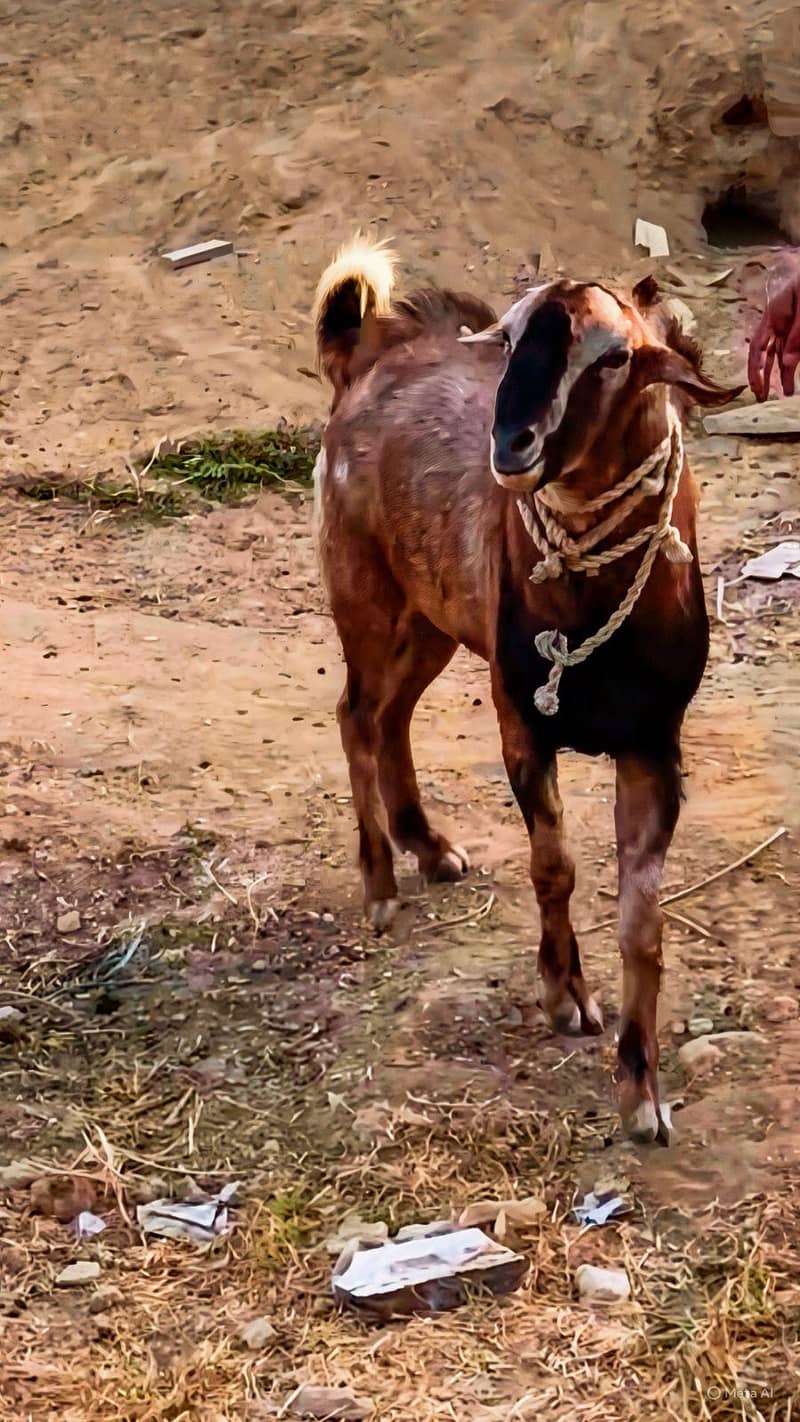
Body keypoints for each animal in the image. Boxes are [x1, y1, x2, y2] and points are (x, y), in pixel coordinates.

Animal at [312, 236, 742, 1143]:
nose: (511, 444)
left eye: (613, 357)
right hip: (366, 593)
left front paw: (641, 1093)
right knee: (356, 713)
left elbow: (643, 921)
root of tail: (365, 351)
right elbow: (556, 867)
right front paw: (565, 996)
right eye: (509, 342)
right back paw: (381, 885)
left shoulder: (654, 745)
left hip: (433, 619)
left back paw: (430, 848)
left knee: (390, 714)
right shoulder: (522, 721)